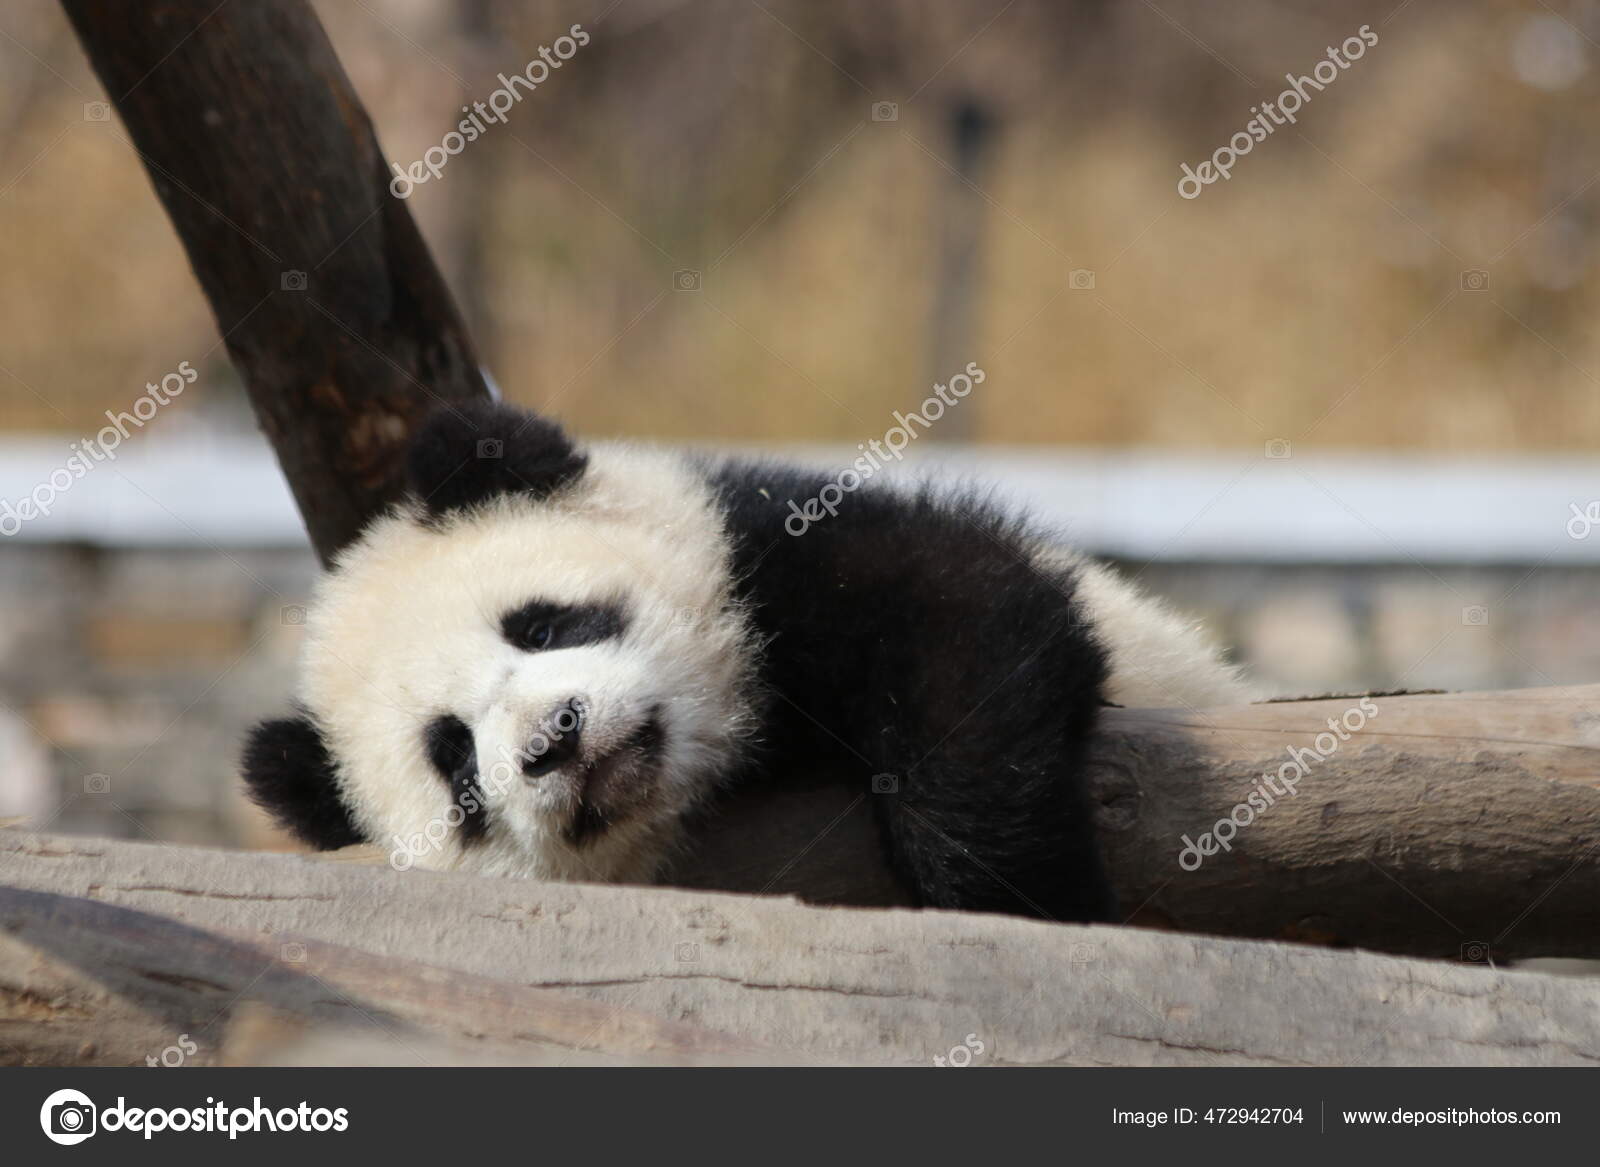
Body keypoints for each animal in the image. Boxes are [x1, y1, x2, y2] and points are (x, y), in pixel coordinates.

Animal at [243, 400, 1250, 922]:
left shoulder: (774, 547)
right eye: (455, 759)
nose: (556, 738)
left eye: (541, 626)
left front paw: (1031, 895)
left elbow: (962, 615)